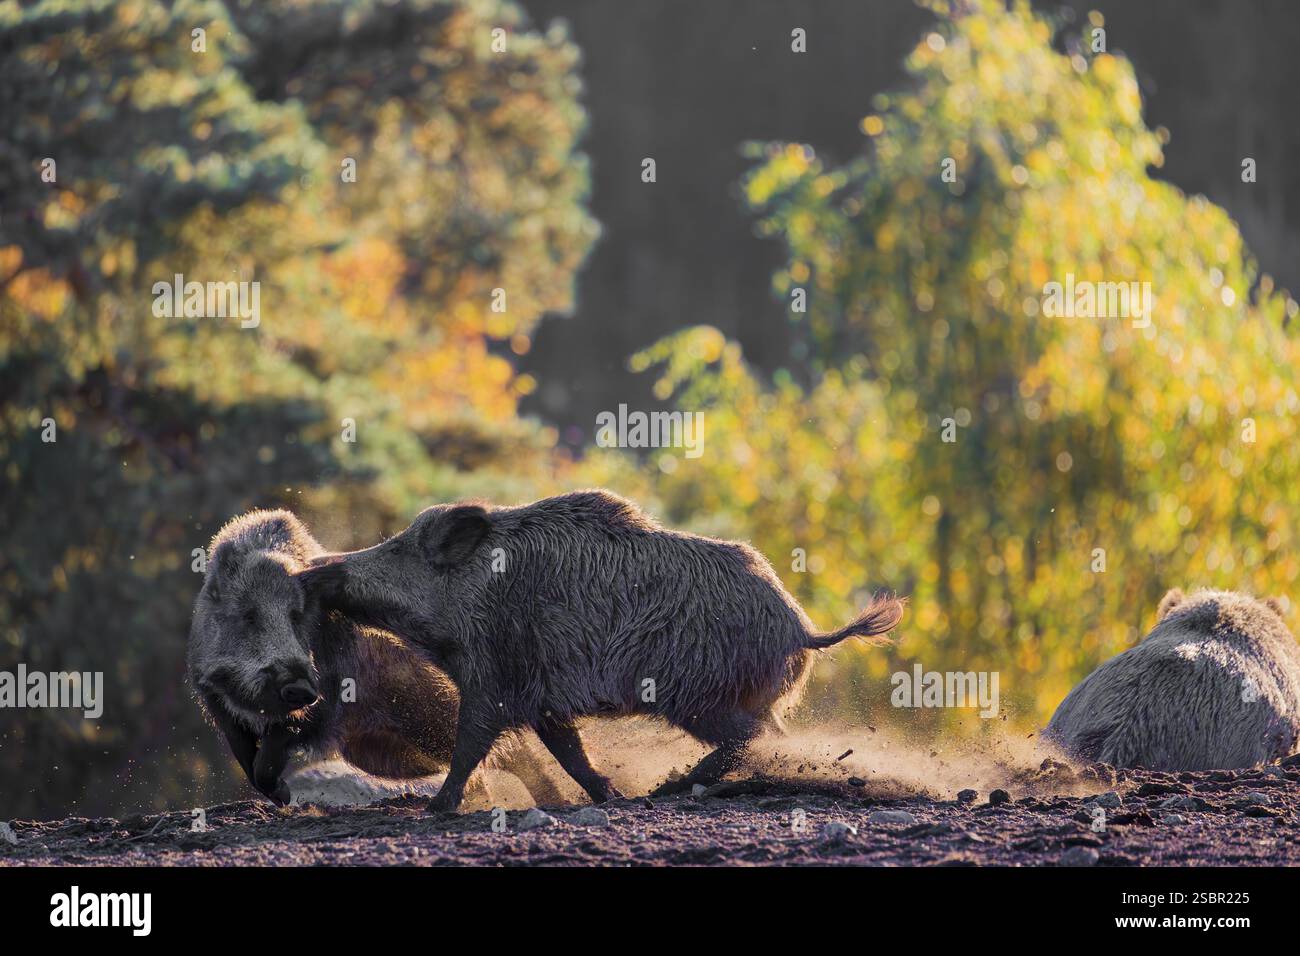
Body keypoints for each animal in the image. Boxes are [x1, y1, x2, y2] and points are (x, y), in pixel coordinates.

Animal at [187, 509, 564, 806]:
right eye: (249, 616)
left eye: (297, 615)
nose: (300, 686)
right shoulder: (214, 700)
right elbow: (246, 758)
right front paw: (280, 798)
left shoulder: (326, 703)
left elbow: (272, 754)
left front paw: (284, 797)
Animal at [295, 489, 904, 811]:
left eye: (399, 549)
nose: (312, 571)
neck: (475, 592)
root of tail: (803, 628)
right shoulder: (542, 699)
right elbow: (568, 751)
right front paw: (606, 795)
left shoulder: (495, 676)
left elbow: (471, 744)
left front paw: (438, 807)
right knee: (771, 735)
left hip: (696, 696)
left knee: (750, 738)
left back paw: (675, 785)